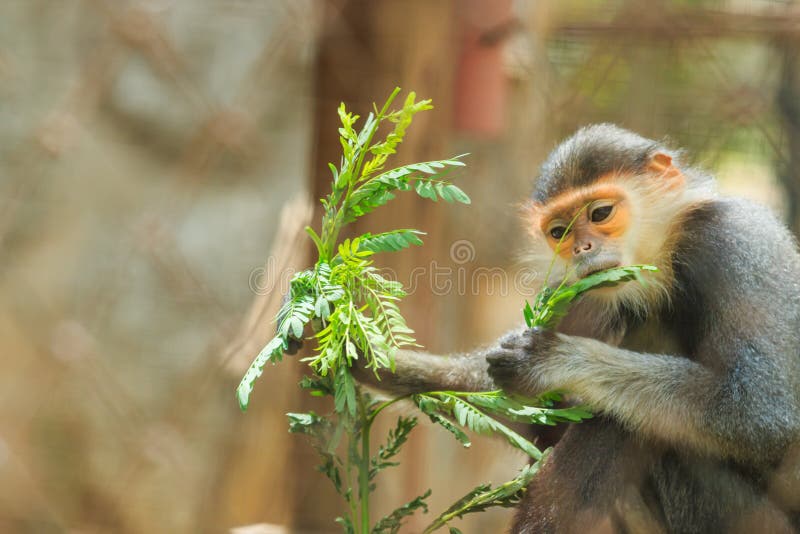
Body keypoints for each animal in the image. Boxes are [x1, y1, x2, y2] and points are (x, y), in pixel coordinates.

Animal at [355, 124, 800, 533]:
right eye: (560, 232)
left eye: (600, 214)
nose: (581, 249)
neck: (670, 257)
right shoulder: (575, 290)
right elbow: (524, 411)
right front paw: (366, 357)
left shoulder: (734, 241)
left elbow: (760, 410)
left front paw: (552, 361)